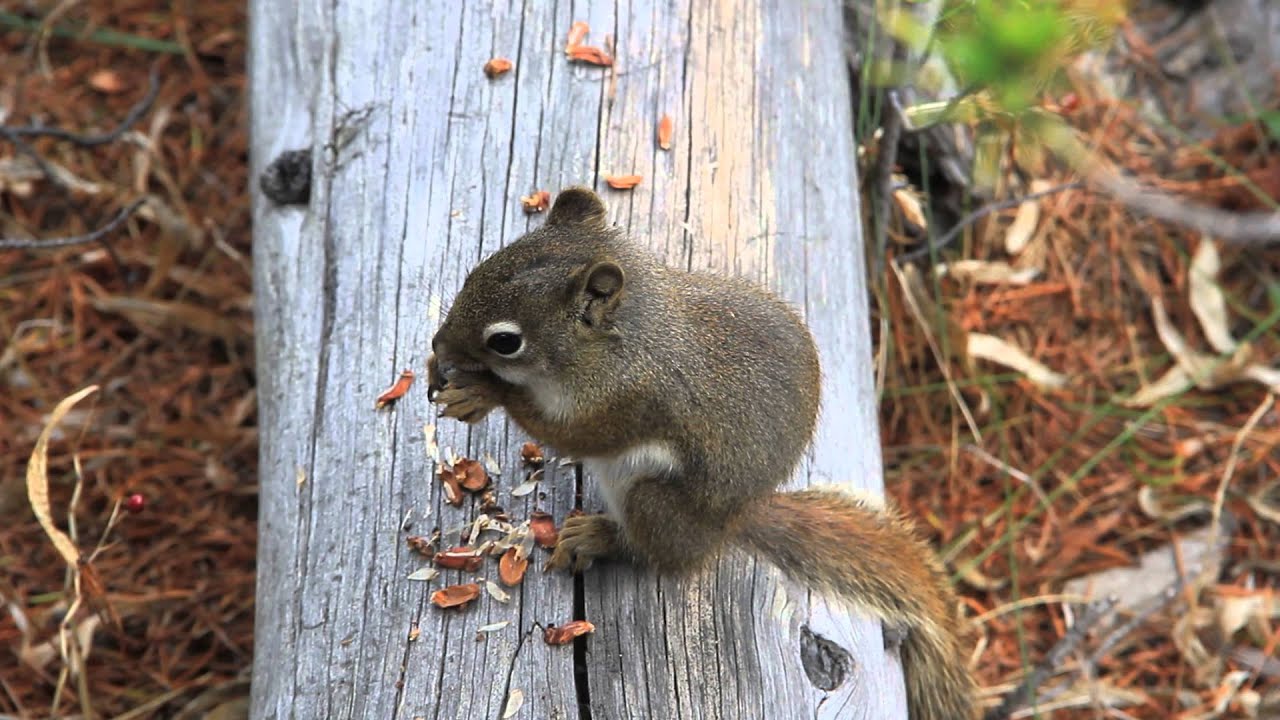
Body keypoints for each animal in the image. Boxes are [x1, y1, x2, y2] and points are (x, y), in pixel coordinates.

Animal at [427, 187, 980, 720]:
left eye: (505, 341)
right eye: (476, 272)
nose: (438, 344)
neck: (619, 342)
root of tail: (732, 523)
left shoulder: (629, 399)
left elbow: (578, 435)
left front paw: (488, 392)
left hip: (655, 502)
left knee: (660, 554)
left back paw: (600, 537)